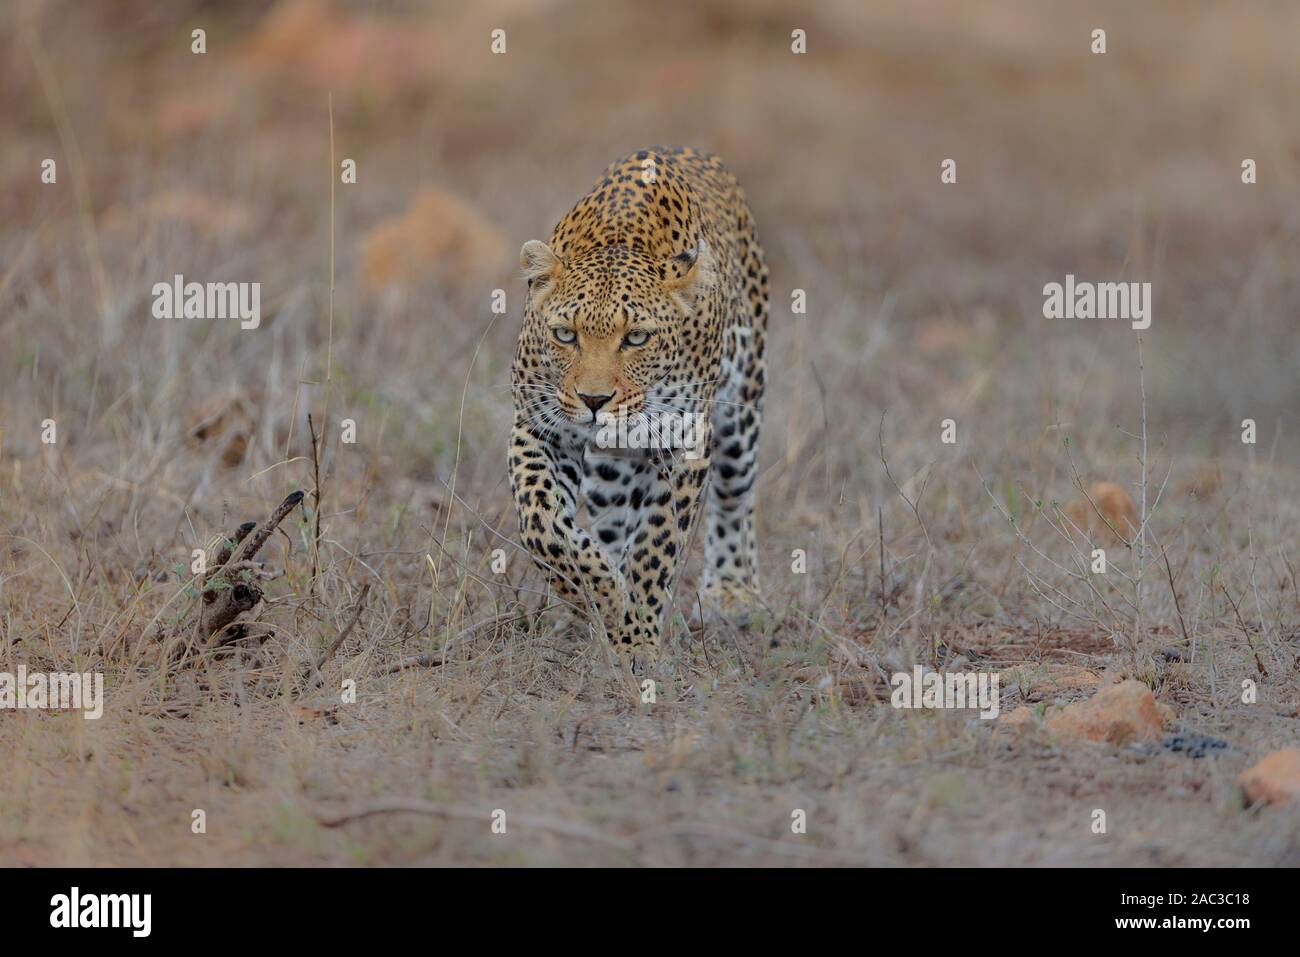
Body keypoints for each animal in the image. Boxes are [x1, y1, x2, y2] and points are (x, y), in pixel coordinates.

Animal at [509, 146, 768, 664]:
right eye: (564, 335)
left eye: (636, 338)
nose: (593, 401)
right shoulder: (540, 426)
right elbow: (541, 520)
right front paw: (602, 591)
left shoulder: (685, 439)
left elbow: (657, 541)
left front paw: (637, 639)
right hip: (611, 471)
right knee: (612, 520)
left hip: (743, 406)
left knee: (736, 497)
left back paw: (732, 590)